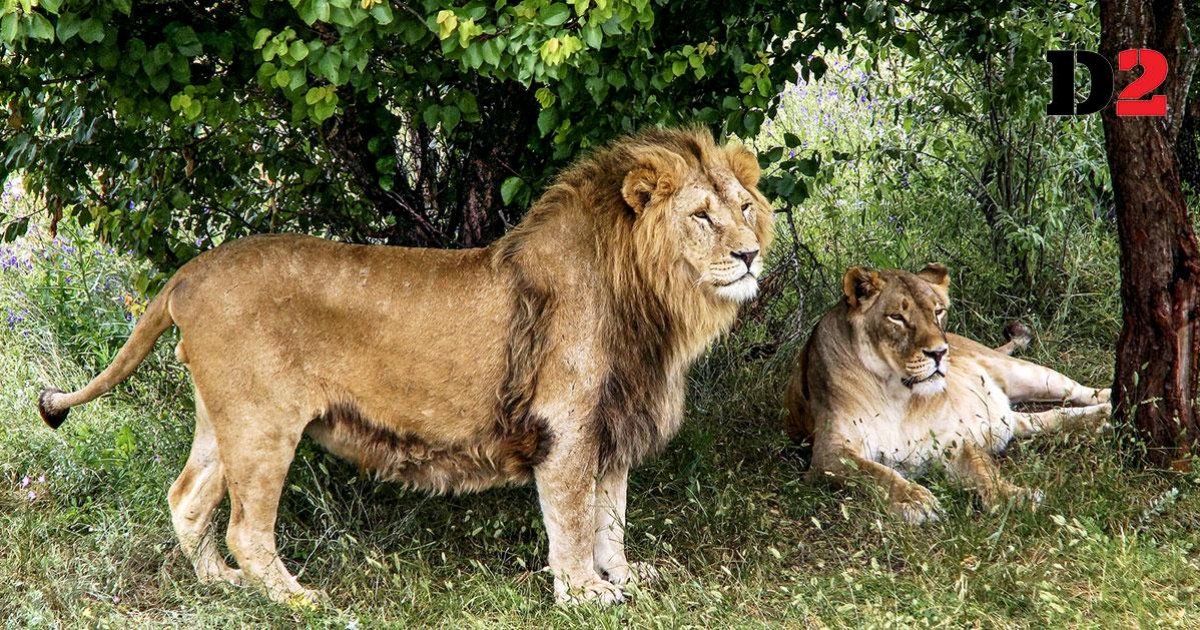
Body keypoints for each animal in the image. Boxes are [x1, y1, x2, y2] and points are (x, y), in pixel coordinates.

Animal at [36, 128, 773, 605]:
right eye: (701, 217)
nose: (750, 256)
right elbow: (571, 516)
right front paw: (584, 593)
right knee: (247, 527)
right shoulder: (567, 423)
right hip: (262, 422)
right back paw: (295, 601)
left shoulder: (616, 419)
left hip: (225, 418)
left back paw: (224, 586)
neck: (652, 302)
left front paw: (621, 575)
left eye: (744, 208)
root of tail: (188, 274)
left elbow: (610, 514)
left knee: (187, 498)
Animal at [784, 264, 1110, 523]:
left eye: (938, 311)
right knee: (1050, 417)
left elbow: (983, 471)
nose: (939, 353)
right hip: (1013, 420)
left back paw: (1110, 400)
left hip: (1023, 372)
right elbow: (873, 472)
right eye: (896, 318)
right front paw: (915, 500)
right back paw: (1102, 418)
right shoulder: (827, 454)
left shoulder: (954, 441)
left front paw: (1013, 496)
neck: (897, 393)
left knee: (1074, 390)